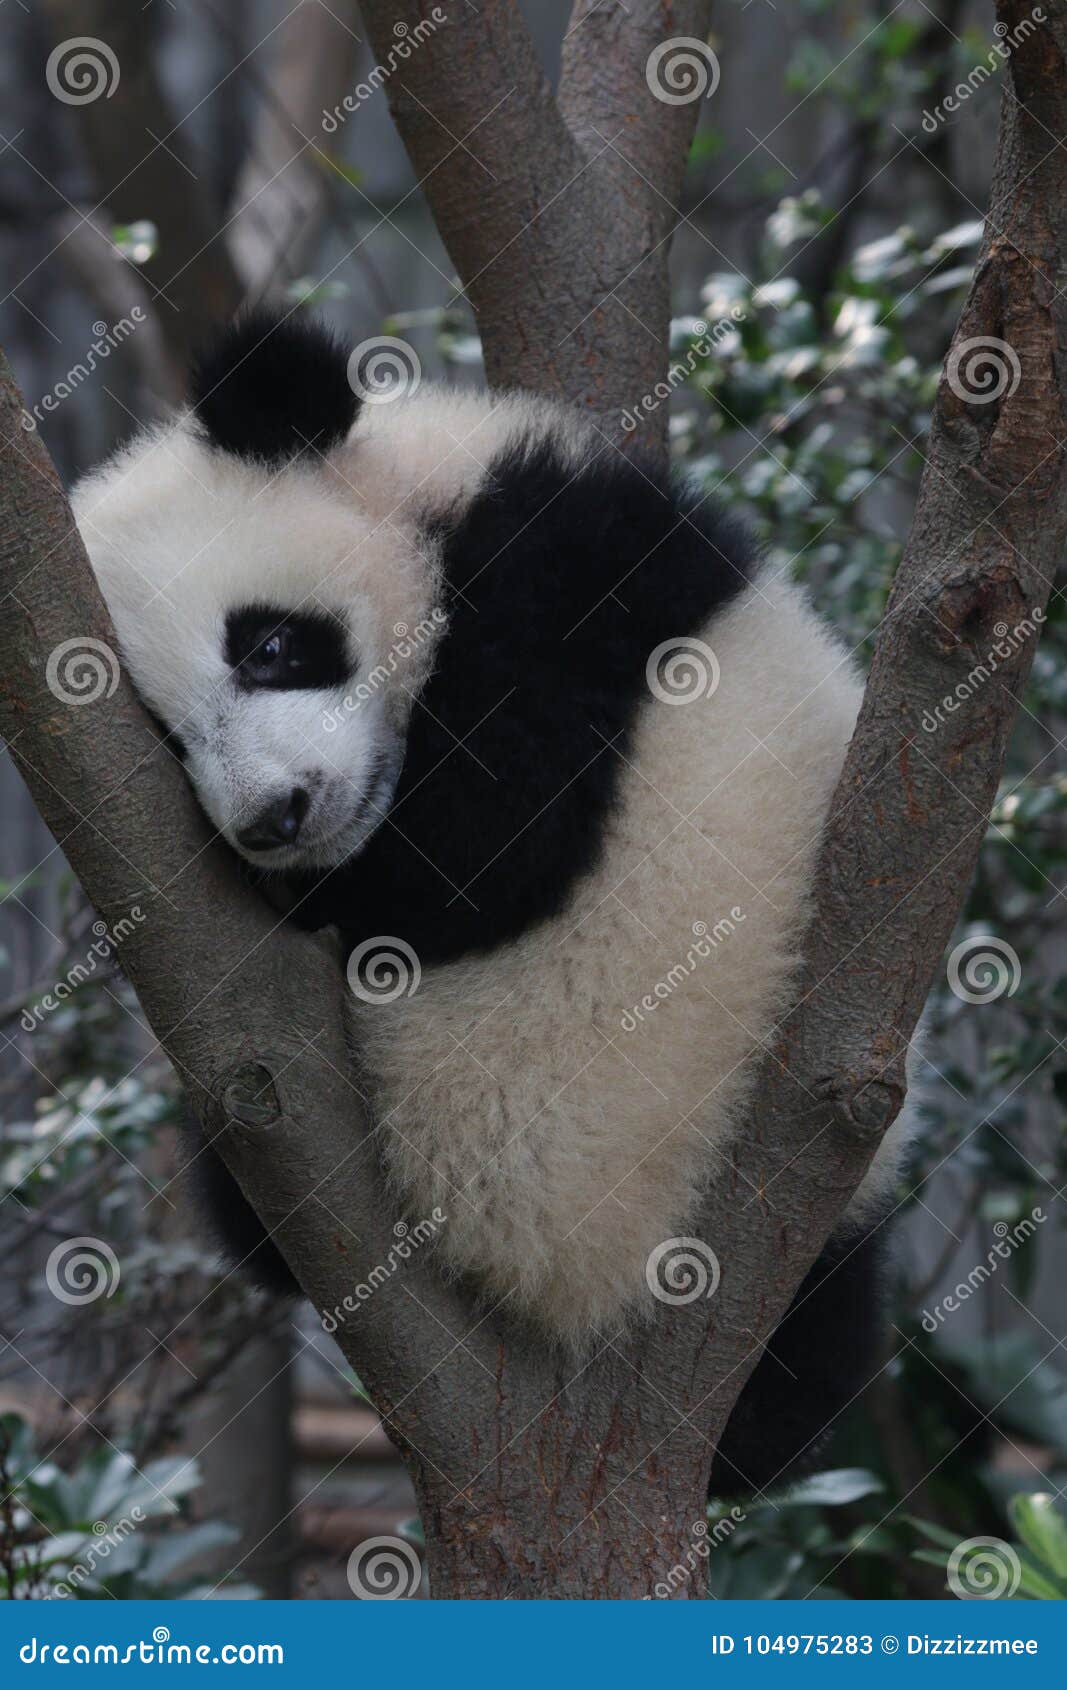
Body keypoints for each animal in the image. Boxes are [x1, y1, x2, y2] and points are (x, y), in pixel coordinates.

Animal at [71, 310, 917, 1496]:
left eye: (269, 646)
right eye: (162, 739)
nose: (276, 819)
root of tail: (570, 1281)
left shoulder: (568, 557)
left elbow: (493, 844)